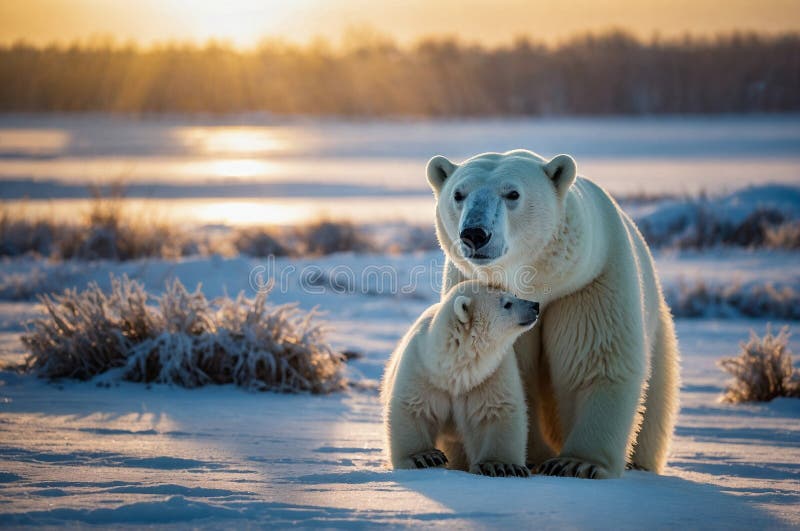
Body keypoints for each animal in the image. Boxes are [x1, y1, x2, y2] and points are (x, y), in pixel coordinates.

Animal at [381, 279, 539, 477]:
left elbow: (498, 411)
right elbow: (414, 408)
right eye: (507, 304)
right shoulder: (422, 369)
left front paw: (501, 465)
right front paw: (424, 457)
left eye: (515, 295)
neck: (454, 369)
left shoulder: (490, 374)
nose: (535, 305)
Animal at [425, 149, 680, 479]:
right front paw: (514, 459)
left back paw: (638, 462)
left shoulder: (587, 284)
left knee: (655, 400)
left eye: (513, 193)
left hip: (658, 328)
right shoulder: (470, 286)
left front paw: (576, 463)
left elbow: (596, 363)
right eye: (458, 194)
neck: (537, 283)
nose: (475, 234)